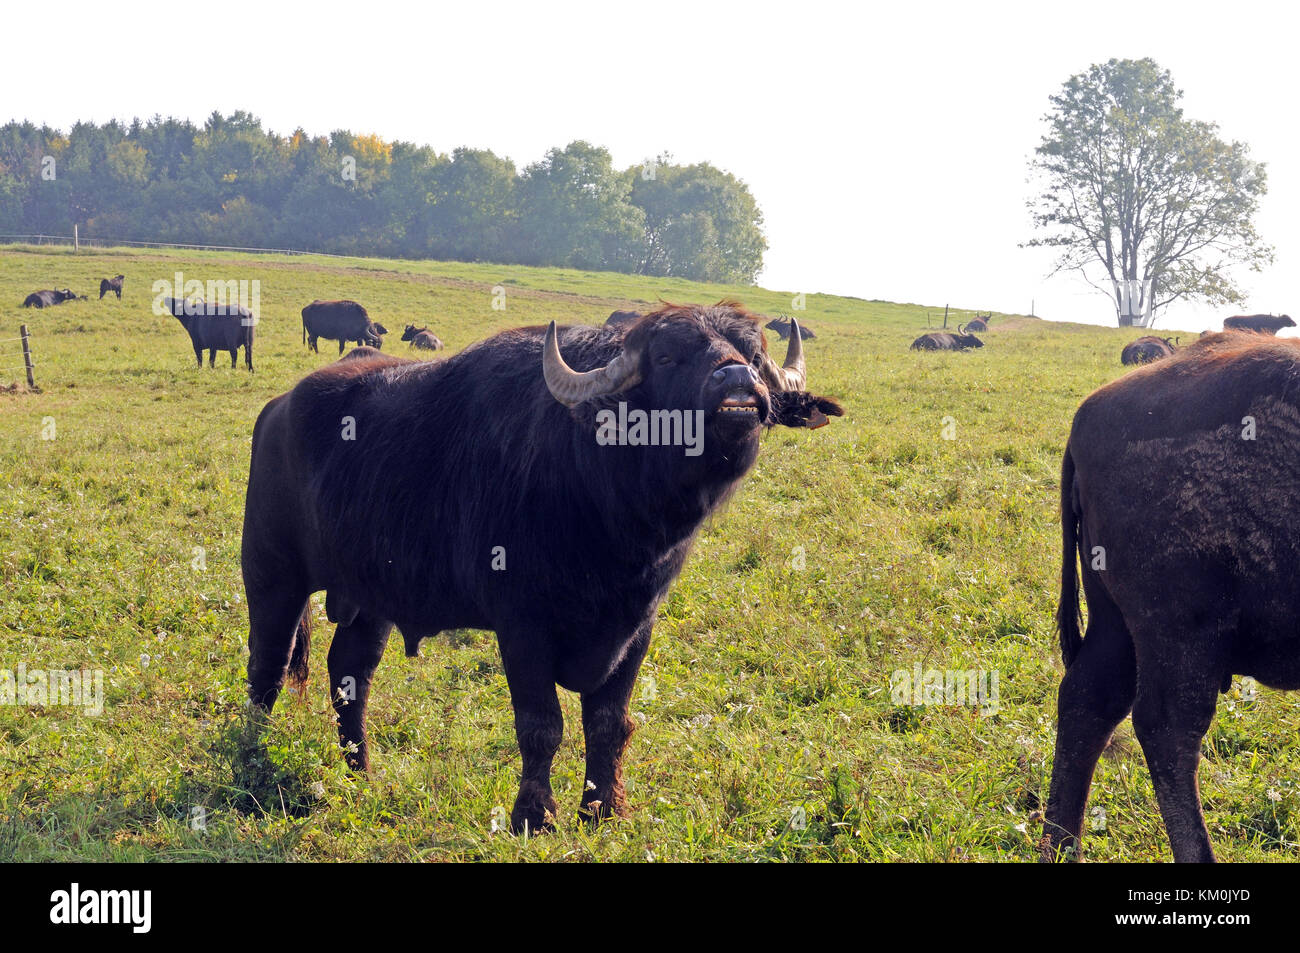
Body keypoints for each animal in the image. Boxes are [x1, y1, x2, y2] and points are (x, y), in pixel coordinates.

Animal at [242, 303, 842, 834]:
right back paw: (254, 756)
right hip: (272, 577)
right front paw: (533, 815)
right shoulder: (523, 626)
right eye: (669, 356)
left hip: (372, 599)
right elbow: (541, 726)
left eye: (755, 353)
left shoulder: (637, 628)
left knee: (350, 675)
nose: (740, 380)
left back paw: (362, 773)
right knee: (267, 668)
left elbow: (609, 724)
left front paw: (603, 811)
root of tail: (276, 409)